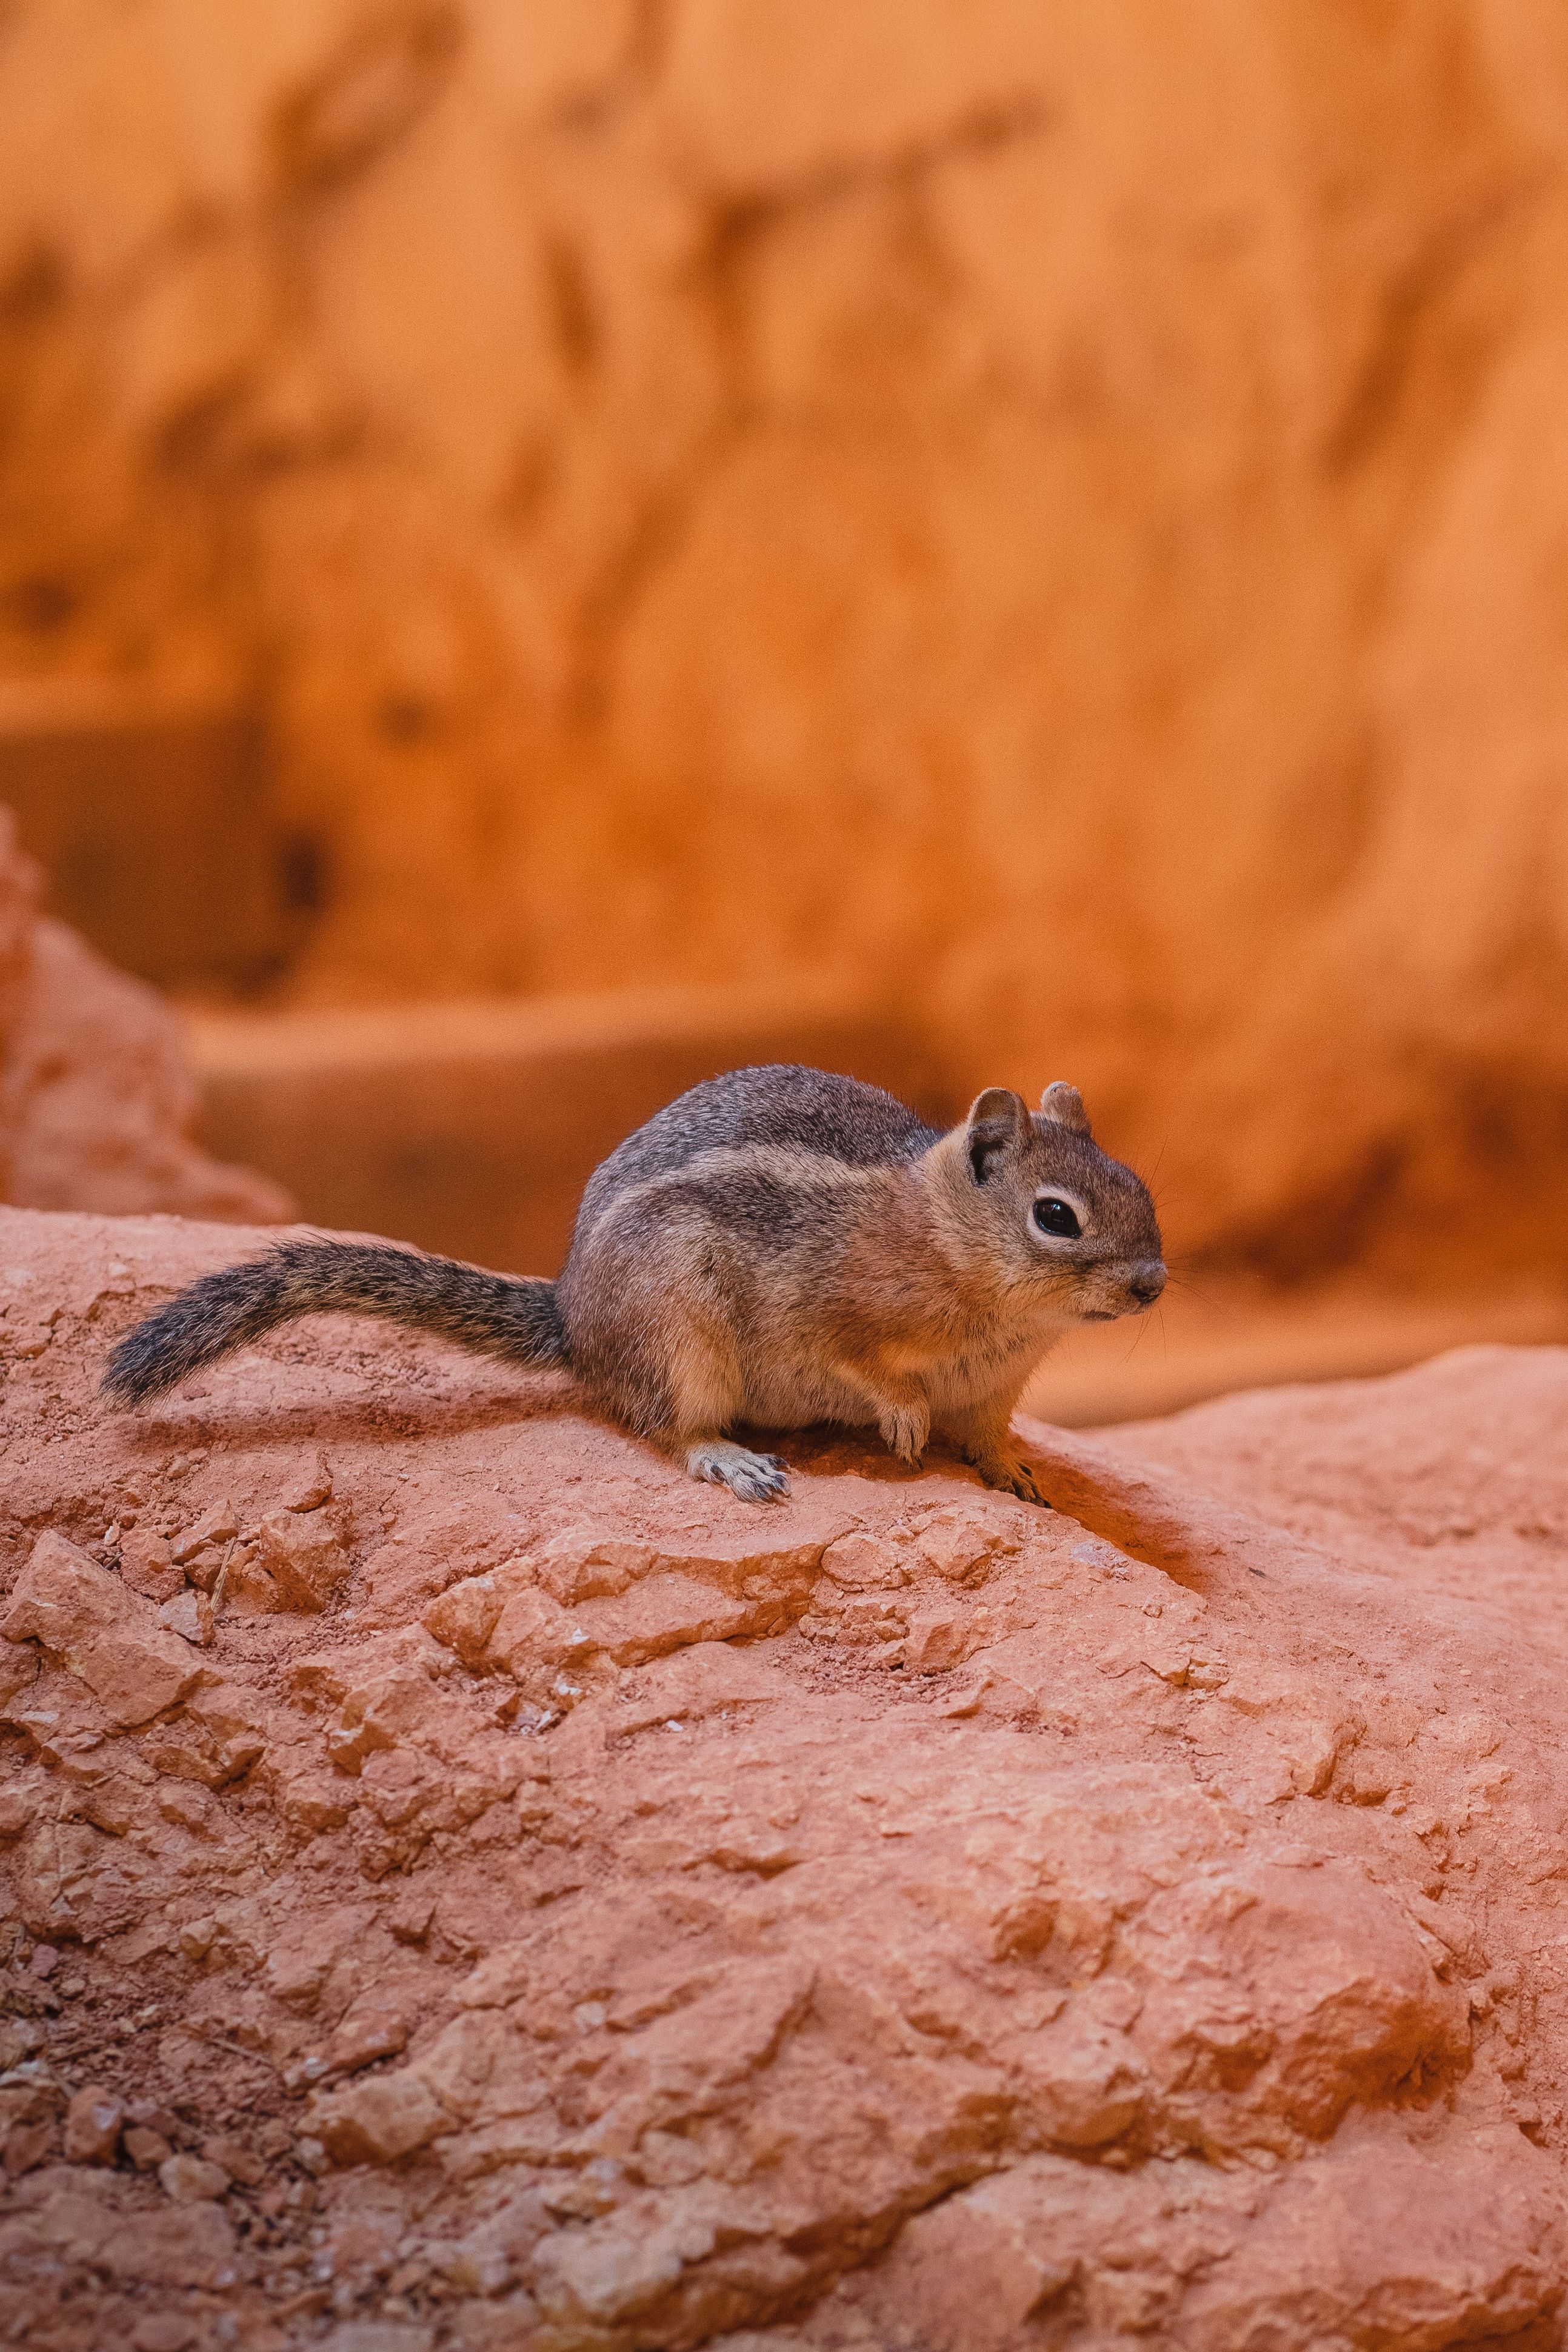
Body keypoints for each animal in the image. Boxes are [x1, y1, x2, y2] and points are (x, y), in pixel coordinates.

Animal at [102, 1064, 1164, 1505]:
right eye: (1055, 1216)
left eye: (1138, 1182)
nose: (1154, 1286)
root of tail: (572, 1317)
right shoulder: (829, 1306)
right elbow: (861, 1363)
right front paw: (902, 1420)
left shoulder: (993, 1390)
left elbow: (987, 1437)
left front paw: (1016, 1472)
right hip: (678, 1335)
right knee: (666, 1426)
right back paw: (731, 1461)